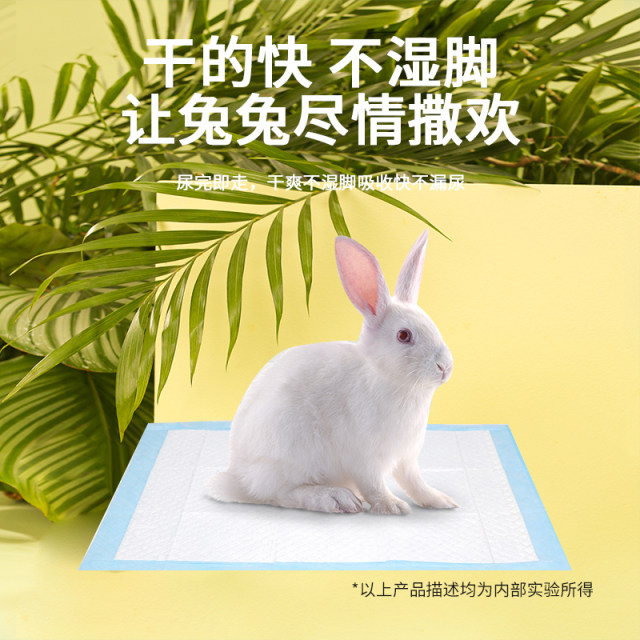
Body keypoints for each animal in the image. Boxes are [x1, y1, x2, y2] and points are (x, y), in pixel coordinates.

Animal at [208, 230, 457, 515]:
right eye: (403, 335)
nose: (445, 366)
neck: (389, 379)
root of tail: (239, 477)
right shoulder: (364, 458)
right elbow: (374, 486)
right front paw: (393, 506)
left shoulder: (406, 458)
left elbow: (414, 483)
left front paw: (440, 501)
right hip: (292, 449)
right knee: (281, 494)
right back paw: (336, 498)